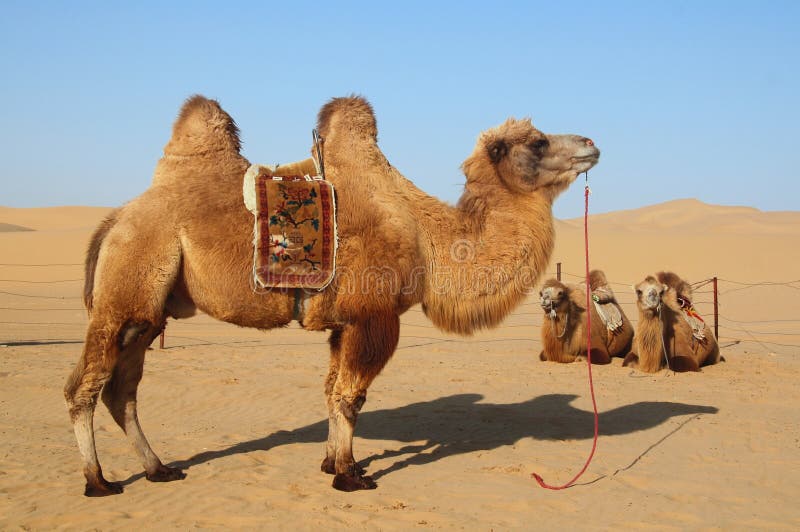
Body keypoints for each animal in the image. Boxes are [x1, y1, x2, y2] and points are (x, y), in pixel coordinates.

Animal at [64, 95, 599, 496]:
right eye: (538, 140)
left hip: (147, 313)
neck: (427, 237)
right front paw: (348, 476)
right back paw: (98, 481)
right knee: (84, 387)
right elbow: (351, 396)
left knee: (121, 390)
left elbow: (330, 390)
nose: (592, 142)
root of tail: (114, 220)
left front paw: (336, 463)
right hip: (125, 290)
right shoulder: (375, 317)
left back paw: (159, 469)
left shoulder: (344, 322)